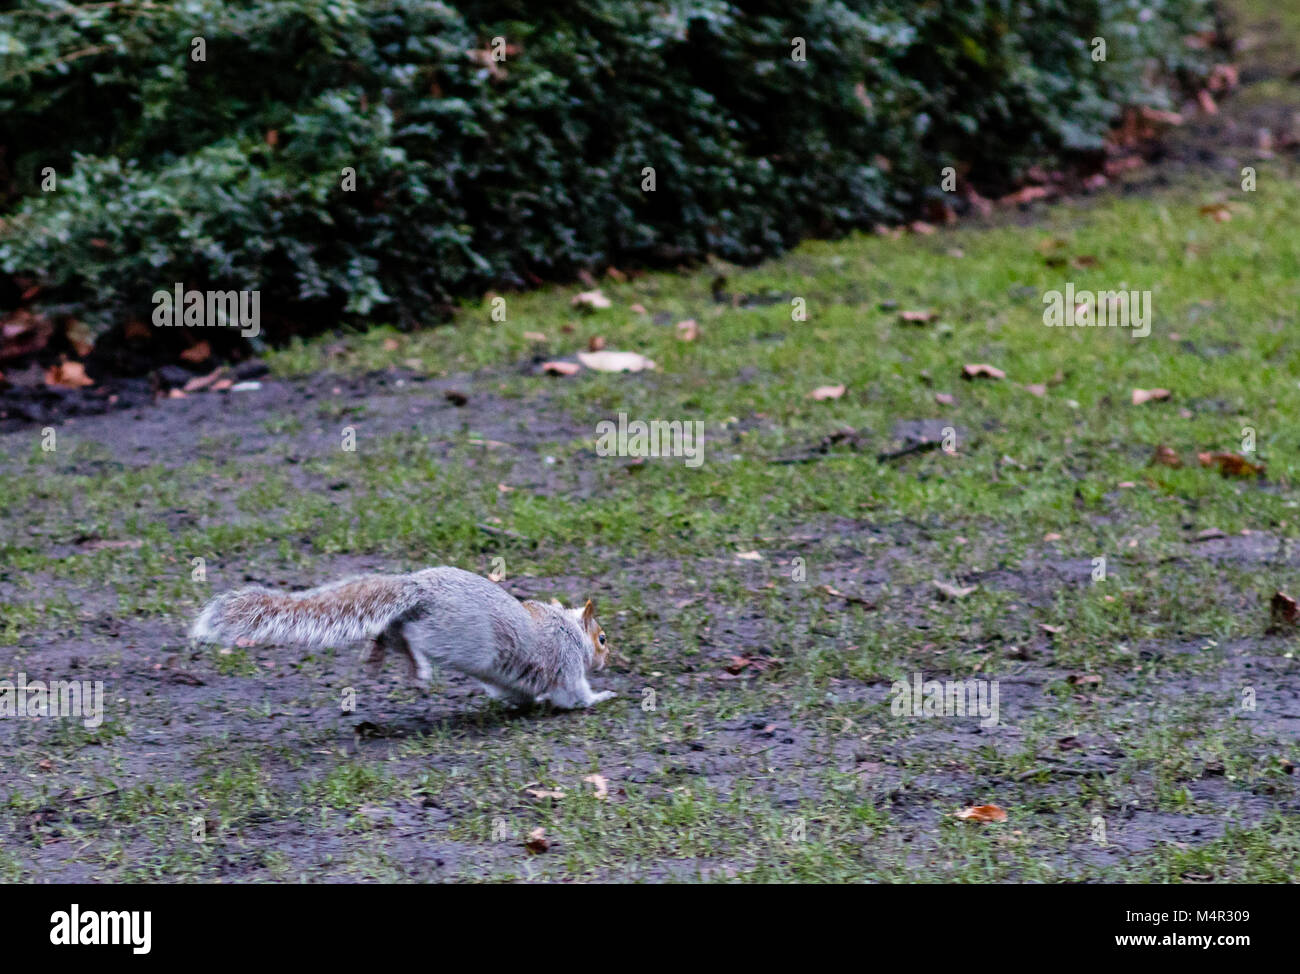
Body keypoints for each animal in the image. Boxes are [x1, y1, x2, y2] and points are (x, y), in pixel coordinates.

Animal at [190, 566, 616, 709]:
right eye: (602, 639)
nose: (608, 658)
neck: (569, 628)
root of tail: (419, 587)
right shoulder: (567, 666)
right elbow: (573, 696)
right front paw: (601, 697)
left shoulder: (513, 684)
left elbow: (517, 694)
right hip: (459, 637)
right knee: (413, 637)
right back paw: (418, 668)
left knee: (387, 633)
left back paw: (376, 657)